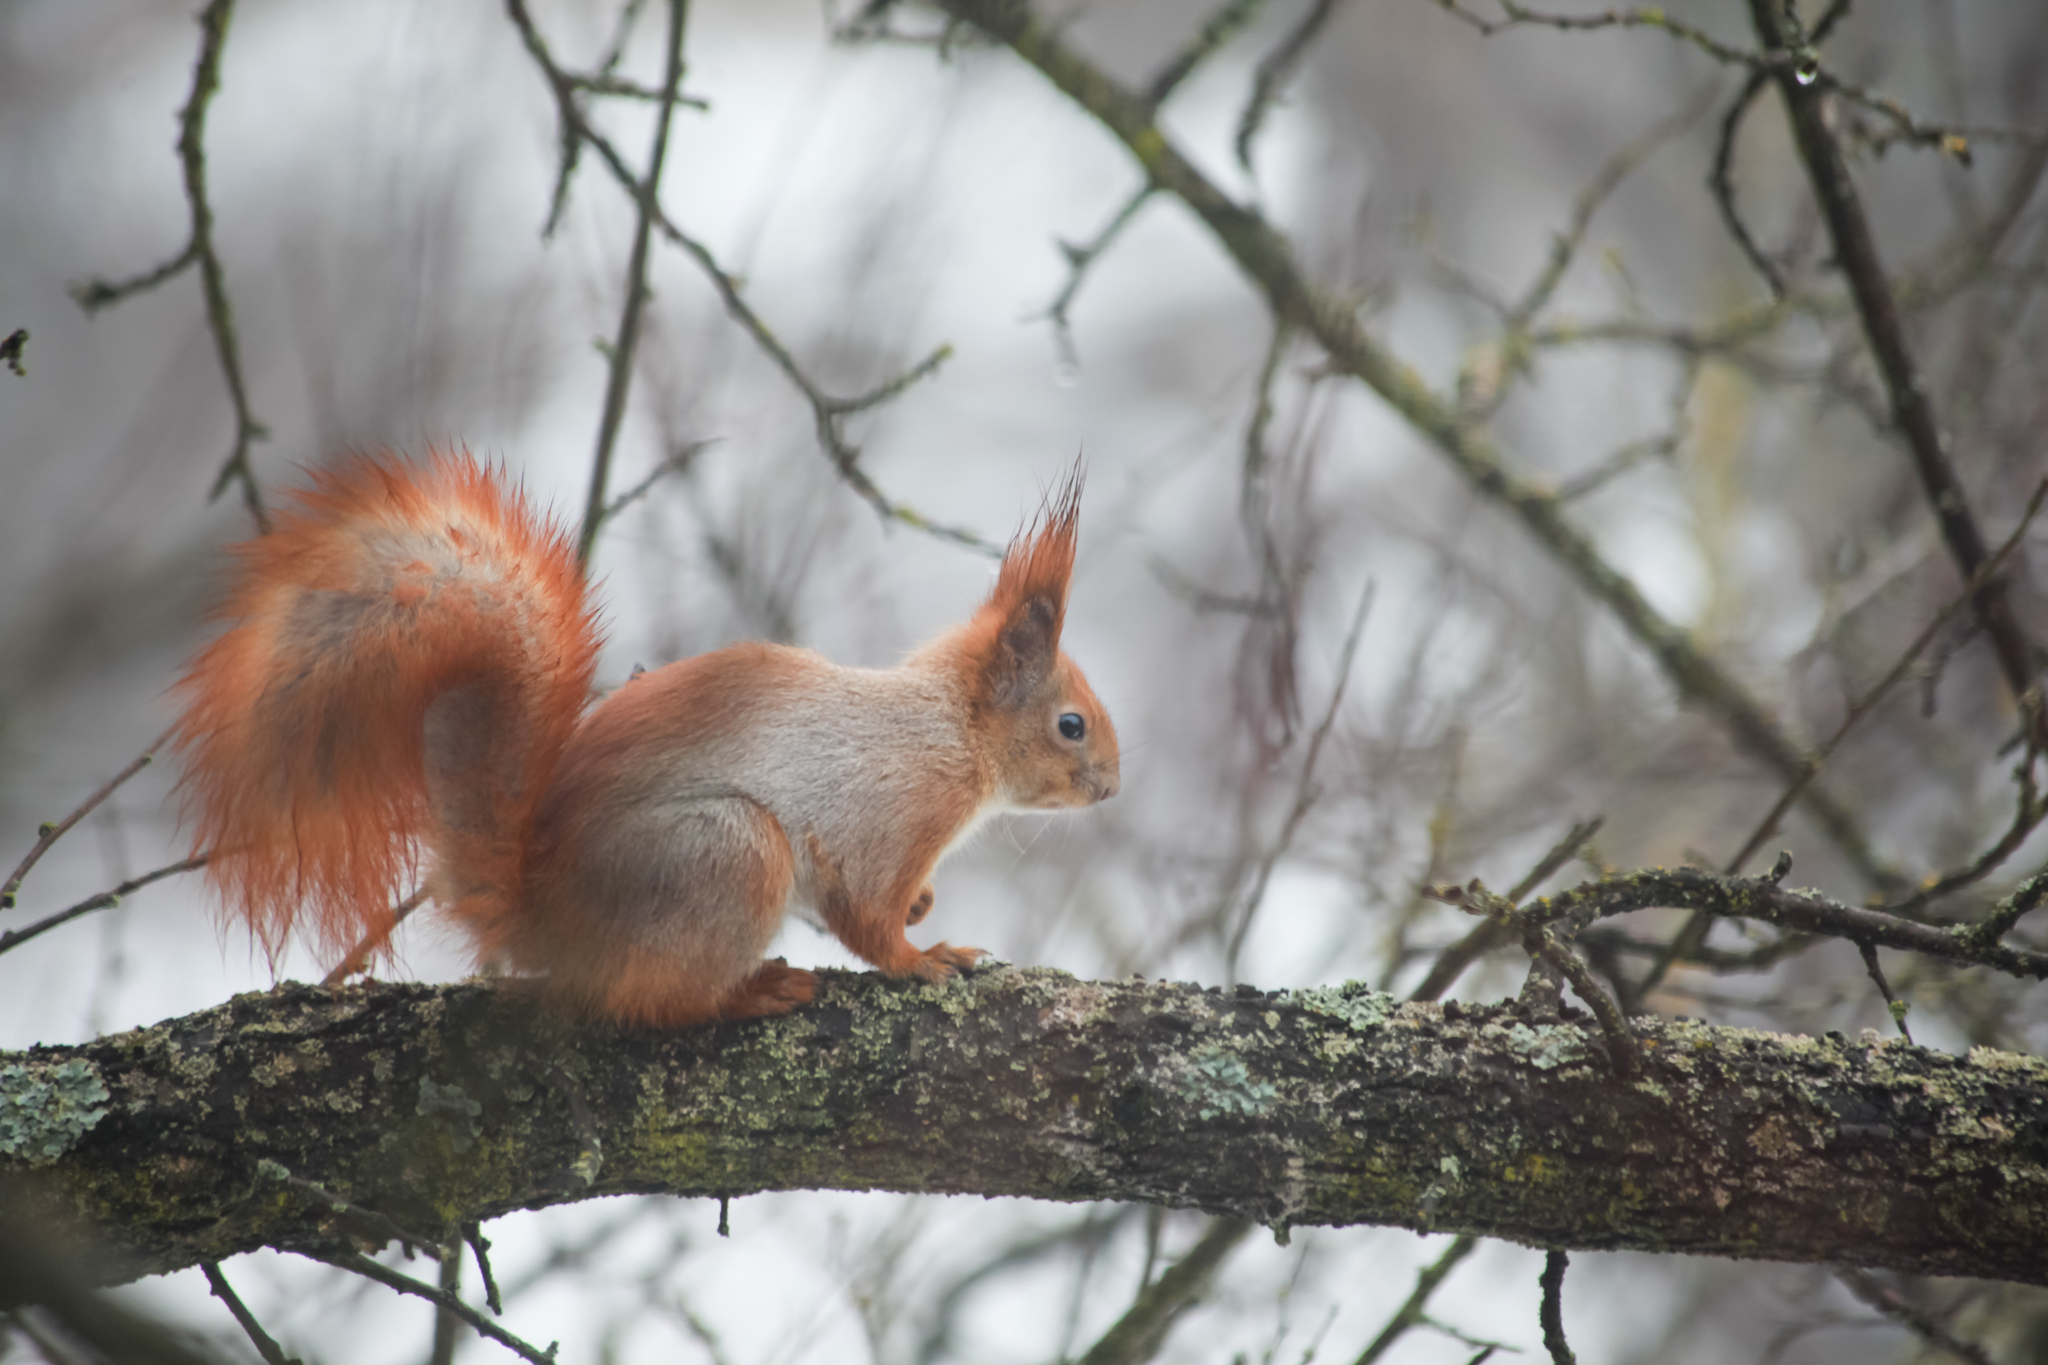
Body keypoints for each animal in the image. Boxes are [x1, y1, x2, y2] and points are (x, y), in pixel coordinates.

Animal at [172, 454, 1122, 1031]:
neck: (950, 724)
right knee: (654, 1004)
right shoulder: (890, 804)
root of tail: (544, 914)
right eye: (1070, 724)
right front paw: (924, 958)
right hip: (728, 853)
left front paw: (925, 913)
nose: (1113, 786)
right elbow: (862, 913)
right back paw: (755, 991)